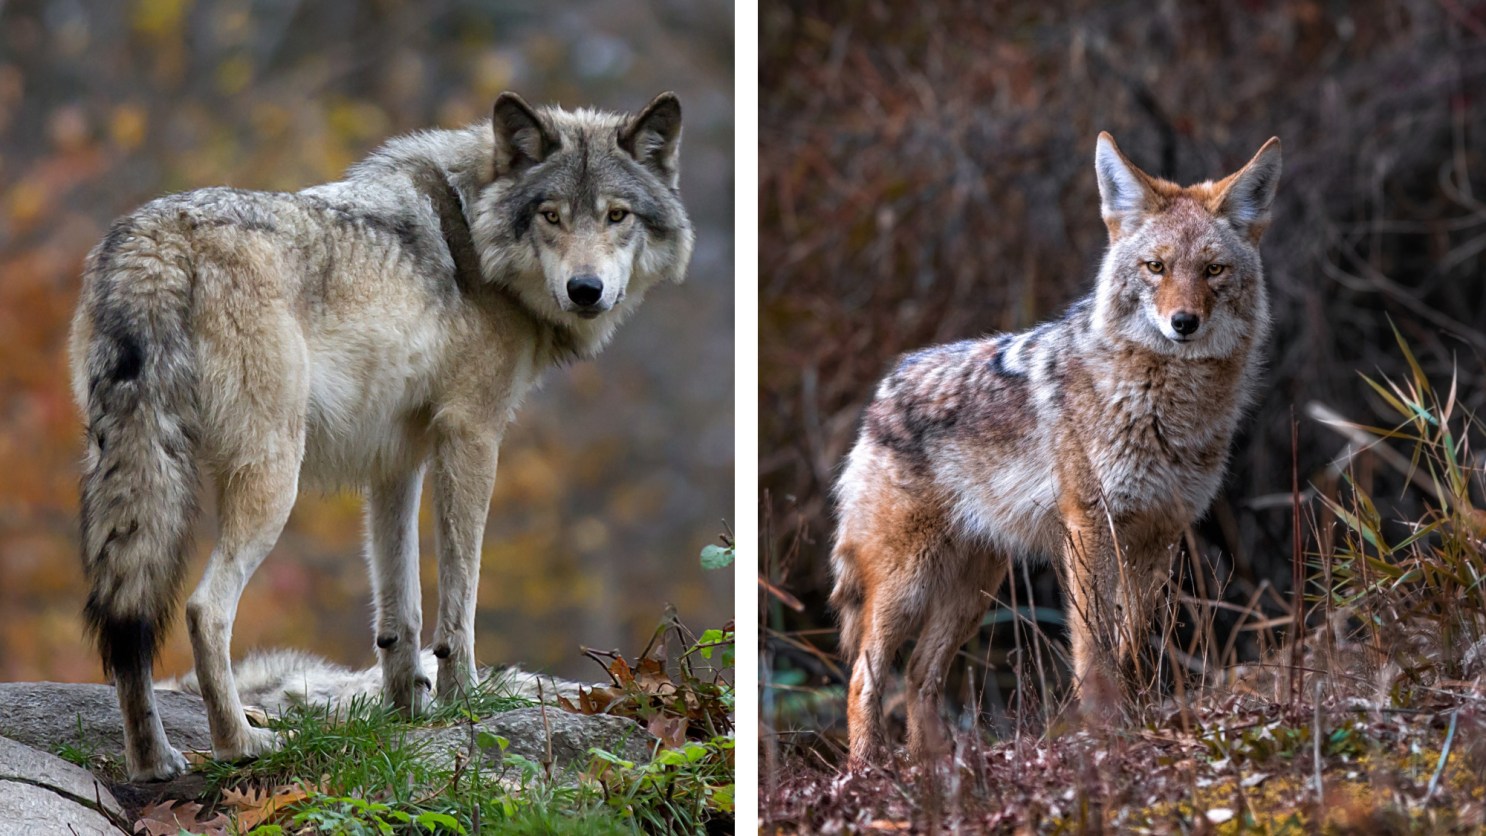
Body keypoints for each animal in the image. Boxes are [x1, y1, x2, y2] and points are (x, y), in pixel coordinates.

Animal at [70, 91, 693, 781]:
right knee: (206, 609)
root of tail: (155, 240)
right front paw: (462, 702)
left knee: (128, 618)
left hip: (133, 470)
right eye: (551, 216)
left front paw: (406, 713)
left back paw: (153, 762)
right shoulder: (472, 436)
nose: (586, 290)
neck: (474, 235)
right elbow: (460, 599)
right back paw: (241, 743)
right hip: (272, 479)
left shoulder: (396, 460)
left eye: (617, 215)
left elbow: (402, 610)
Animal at [830, 133, 1281, 767]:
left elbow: (1131, 640)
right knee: (864, 679)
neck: (1167, 403)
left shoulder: (1161, 533)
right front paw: (1101, 729)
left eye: (1213, 270)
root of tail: (883, 391)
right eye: (1156, 267)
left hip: (973, 589)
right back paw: (868, 773)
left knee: (920, 677)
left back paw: (932, 771)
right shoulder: (1090, 526)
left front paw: (1135, 713)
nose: (1183, 323)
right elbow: (1092, 646)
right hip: (907, 583)